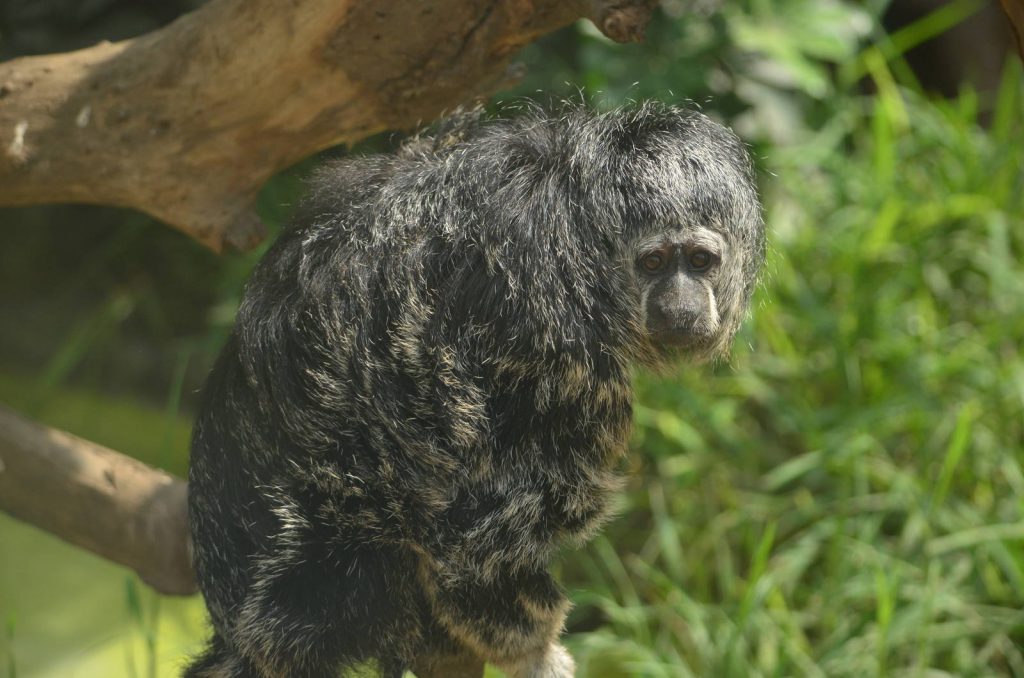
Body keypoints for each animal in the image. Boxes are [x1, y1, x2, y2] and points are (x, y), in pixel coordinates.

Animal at [184, 102, 765, 678]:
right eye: (653, 262)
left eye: (699, 261)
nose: (681, 303)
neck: (570, 210)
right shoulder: (548, 330)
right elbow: (477, 531)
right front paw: (531, 650)